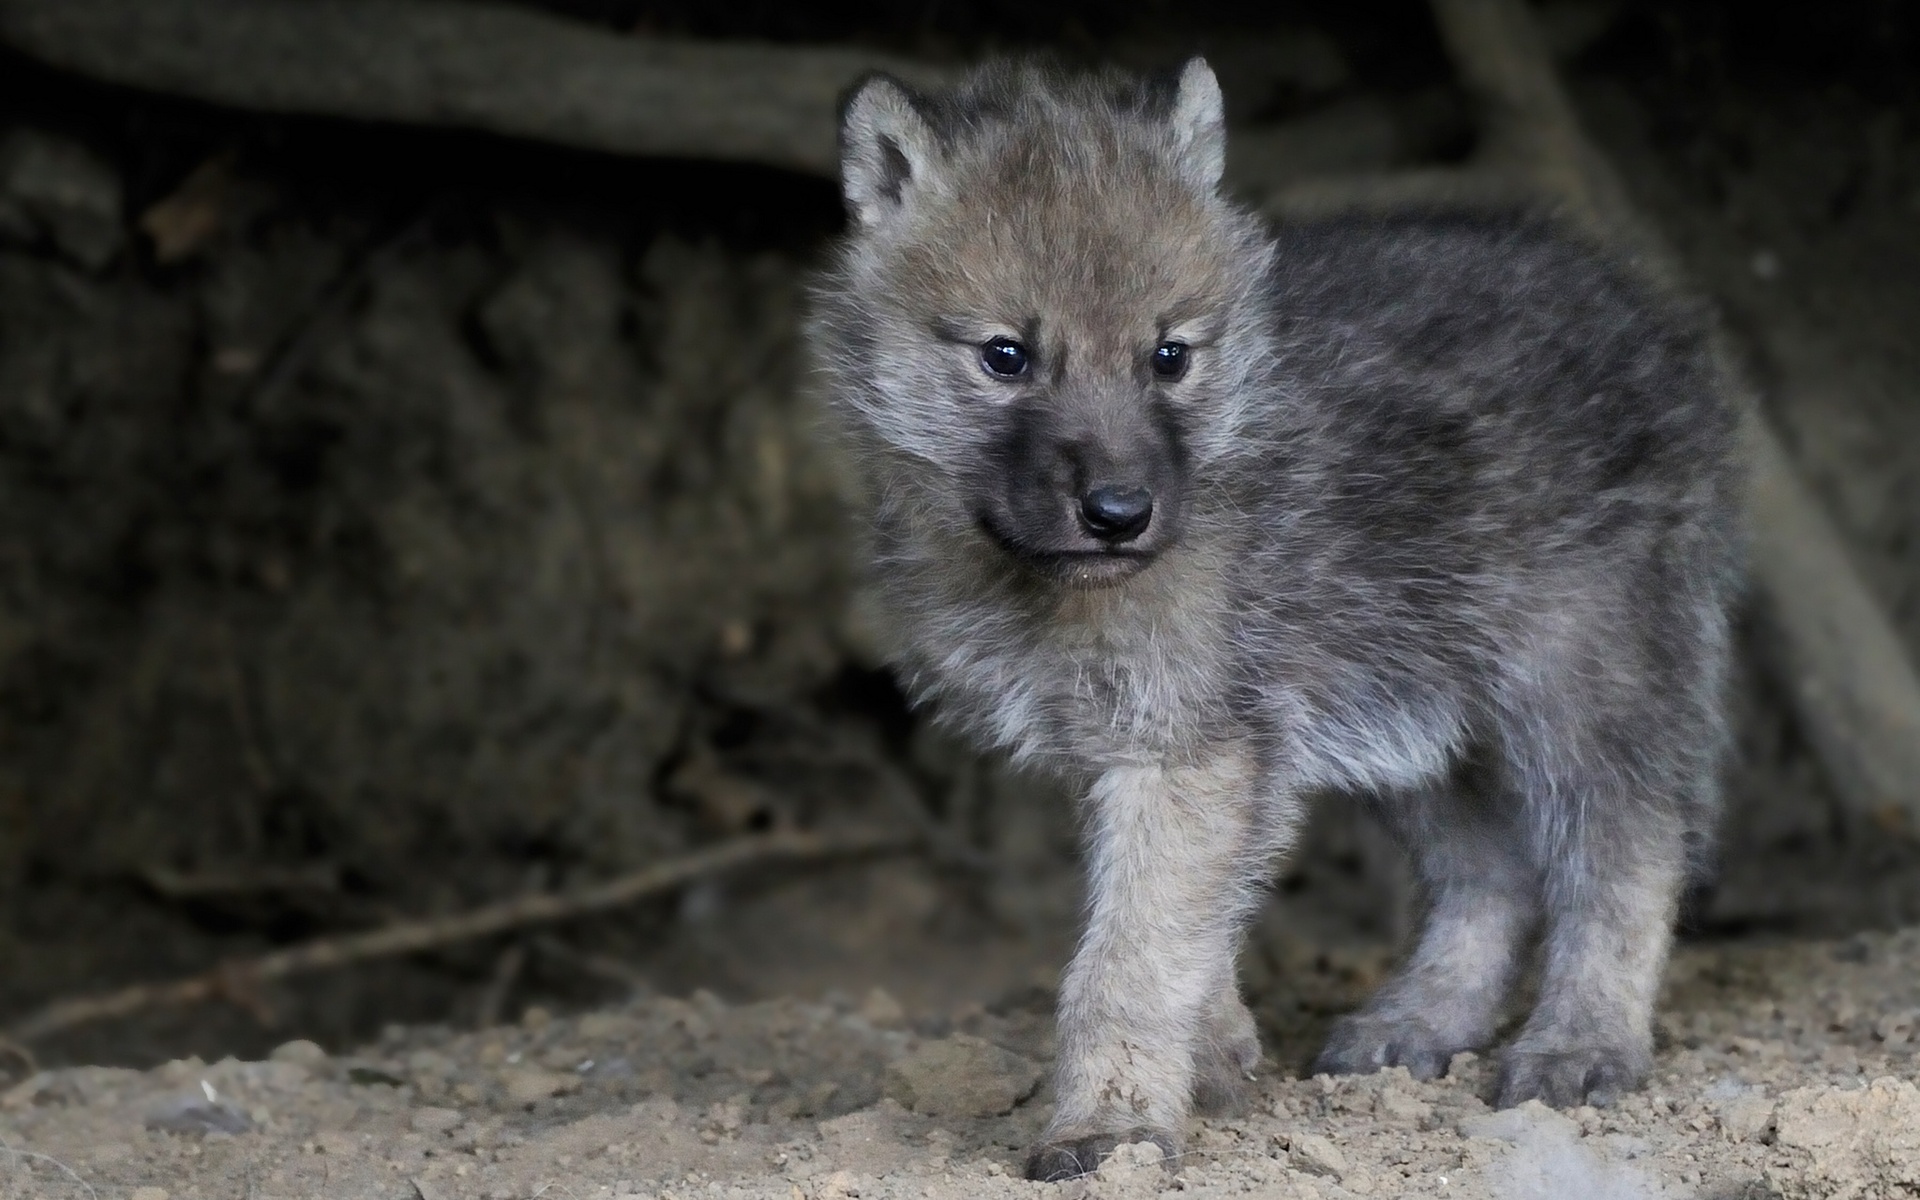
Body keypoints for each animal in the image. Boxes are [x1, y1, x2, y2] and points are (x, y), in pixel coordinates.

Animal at [806, 56, 1741, 1181]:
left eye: (1169, 356)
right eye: (1005, 356)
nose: (1120, 514)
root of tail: (1646, 315)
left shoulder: (1188, 748)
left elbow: (1127, 962)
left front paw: (1112, 1126)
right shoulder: (1147, 745)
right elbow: (1185, 926)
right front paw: (1212, 1057)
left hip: (1579, 678)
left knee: (1627, 848)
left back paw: (1581, 1043)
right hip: (1419, 712)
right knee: (1498, 874)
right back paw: (1416, 1022)